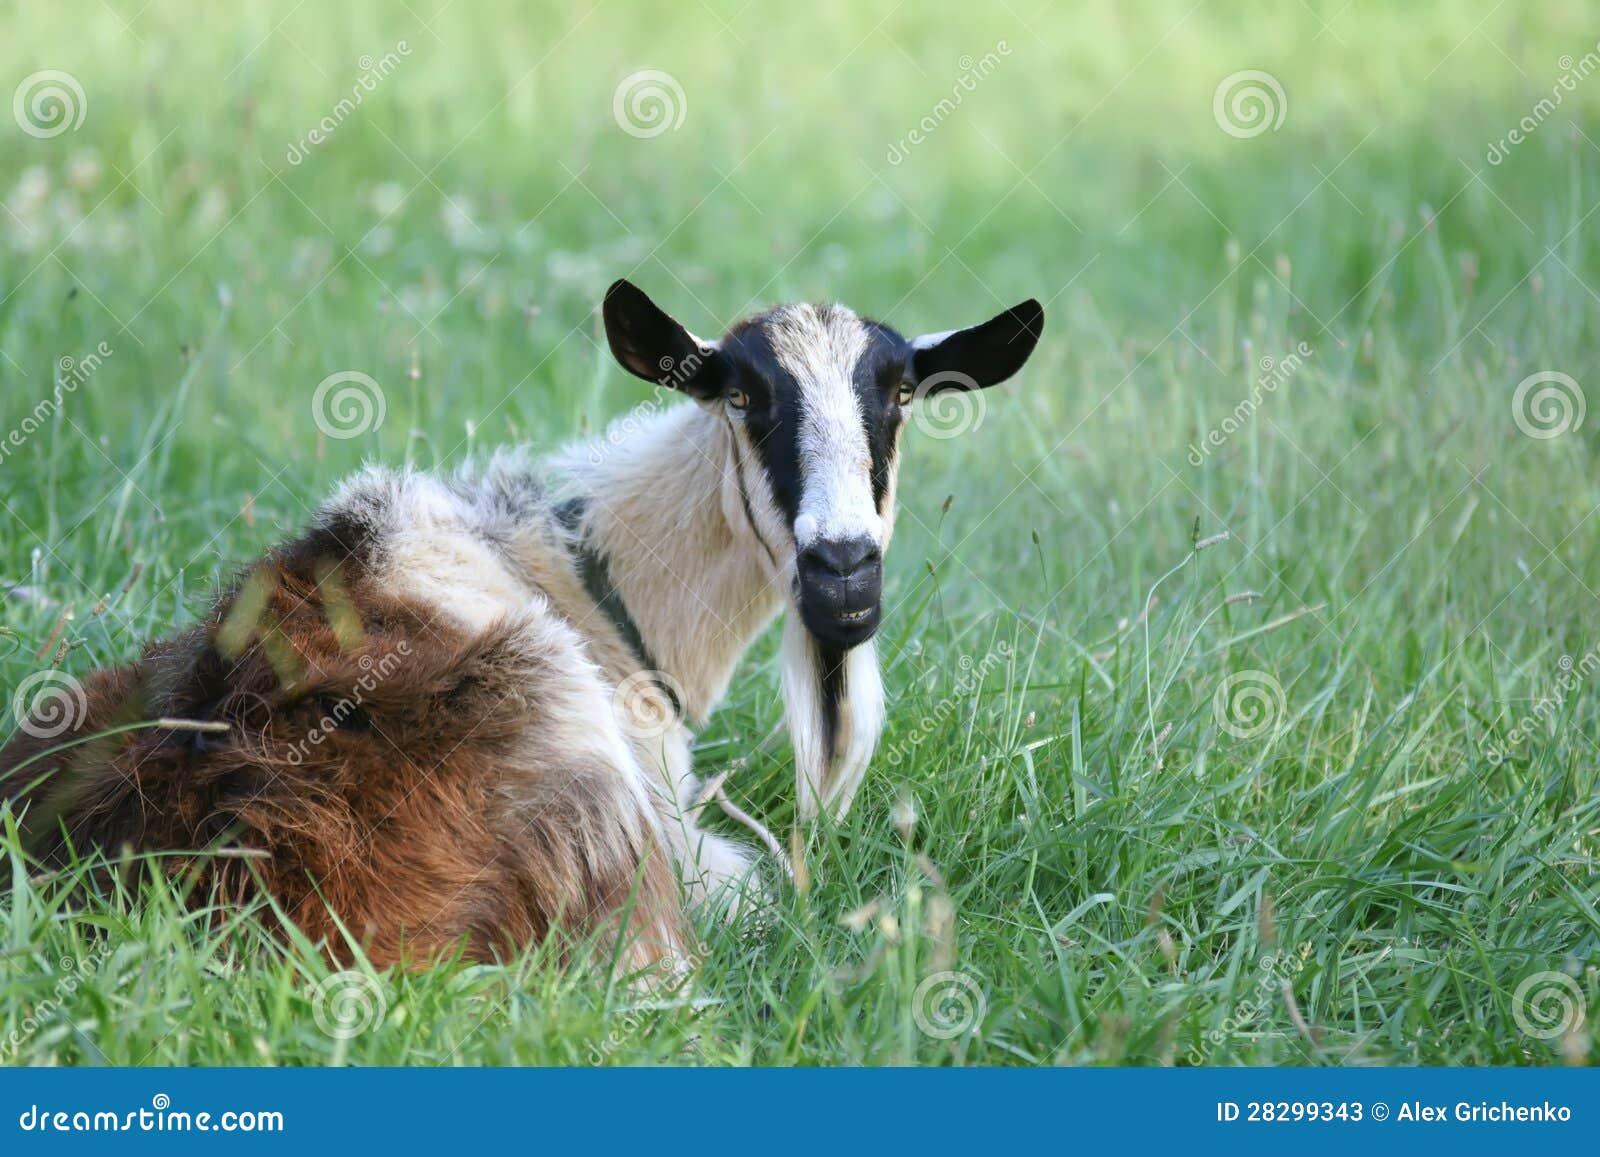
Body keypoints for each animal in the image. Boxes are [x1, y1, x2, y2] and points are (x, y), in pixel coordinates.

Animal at [0, 280, 1043, 972]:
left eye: (900, 395)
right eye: (743, 396)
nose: (843, 572)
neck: (573, 569)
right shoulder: (678, 837)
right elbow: (760, 882)